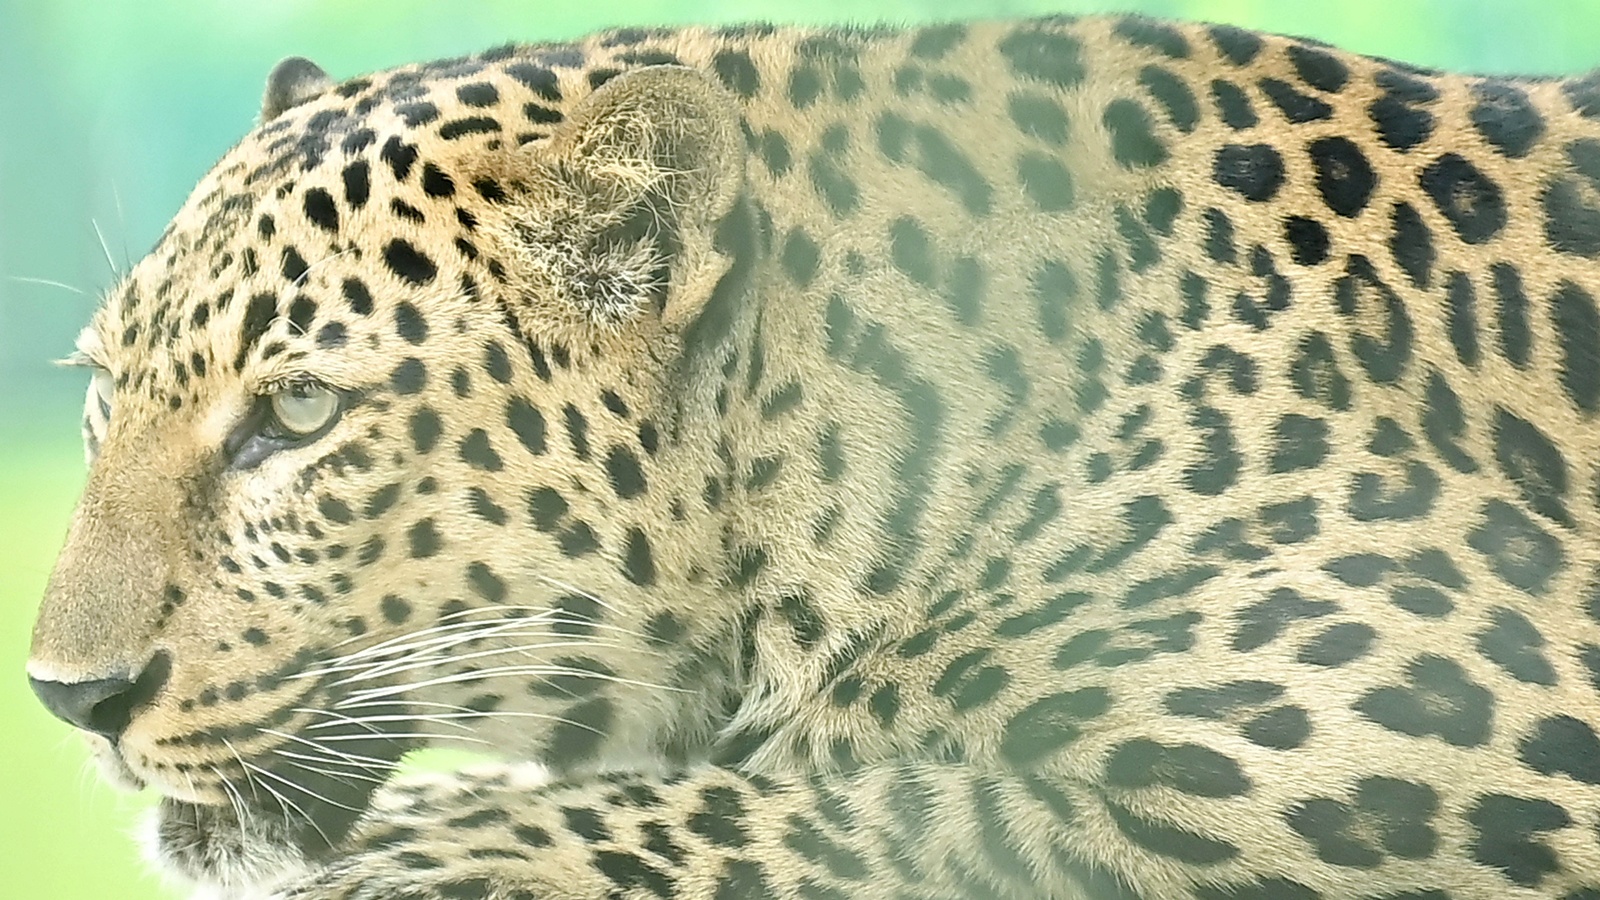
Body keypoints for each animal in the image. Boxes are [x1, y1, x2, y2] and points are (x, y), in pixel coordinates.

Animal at [24, 13, 1600, 900]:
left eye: (296, 417)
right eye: (104, 396)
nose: (69, 701)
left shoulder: (1458, 761)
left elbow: (922, 809)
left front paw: (455, 842)